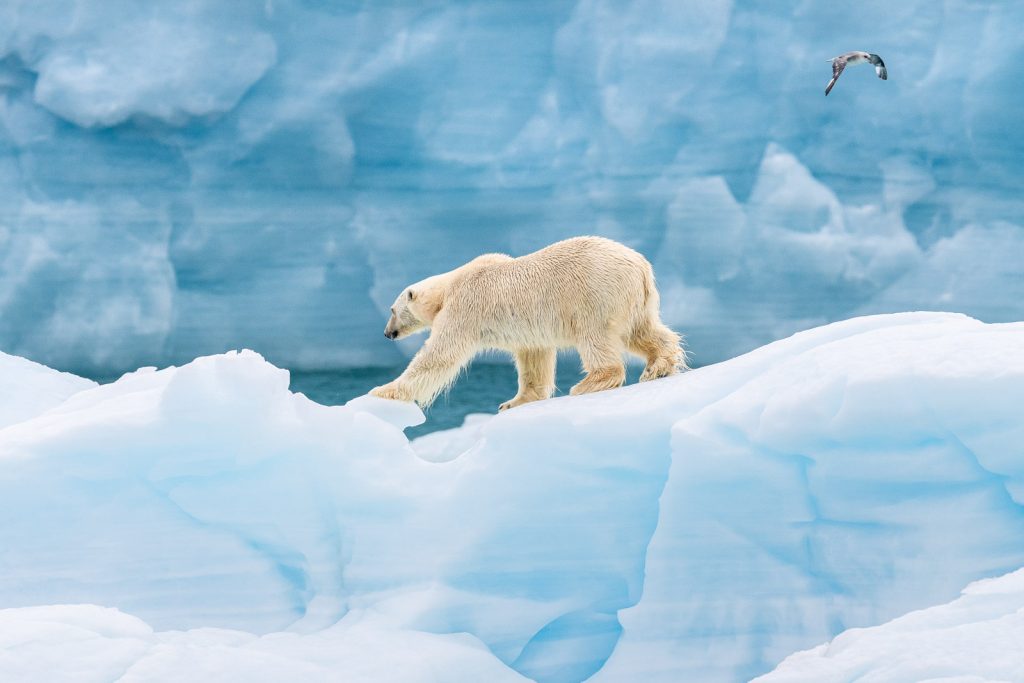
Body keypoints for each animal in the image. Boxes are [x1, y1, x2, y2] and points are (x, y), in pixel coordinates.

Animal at [369, 235, 687, 411]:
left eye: (392, 309)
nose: (386, 333)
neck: (449, 287)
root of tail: (641, 266)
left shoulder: (465, 306)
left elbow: (438, 355)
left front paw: (382, 390)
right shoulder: (528, 332)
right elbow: (533, 357)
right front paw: (512, 402)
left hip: (595, 293)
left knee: (595, 336)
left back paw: (588, 383)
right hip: (634, 300)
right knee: (642, 331)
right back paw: (658, 366)